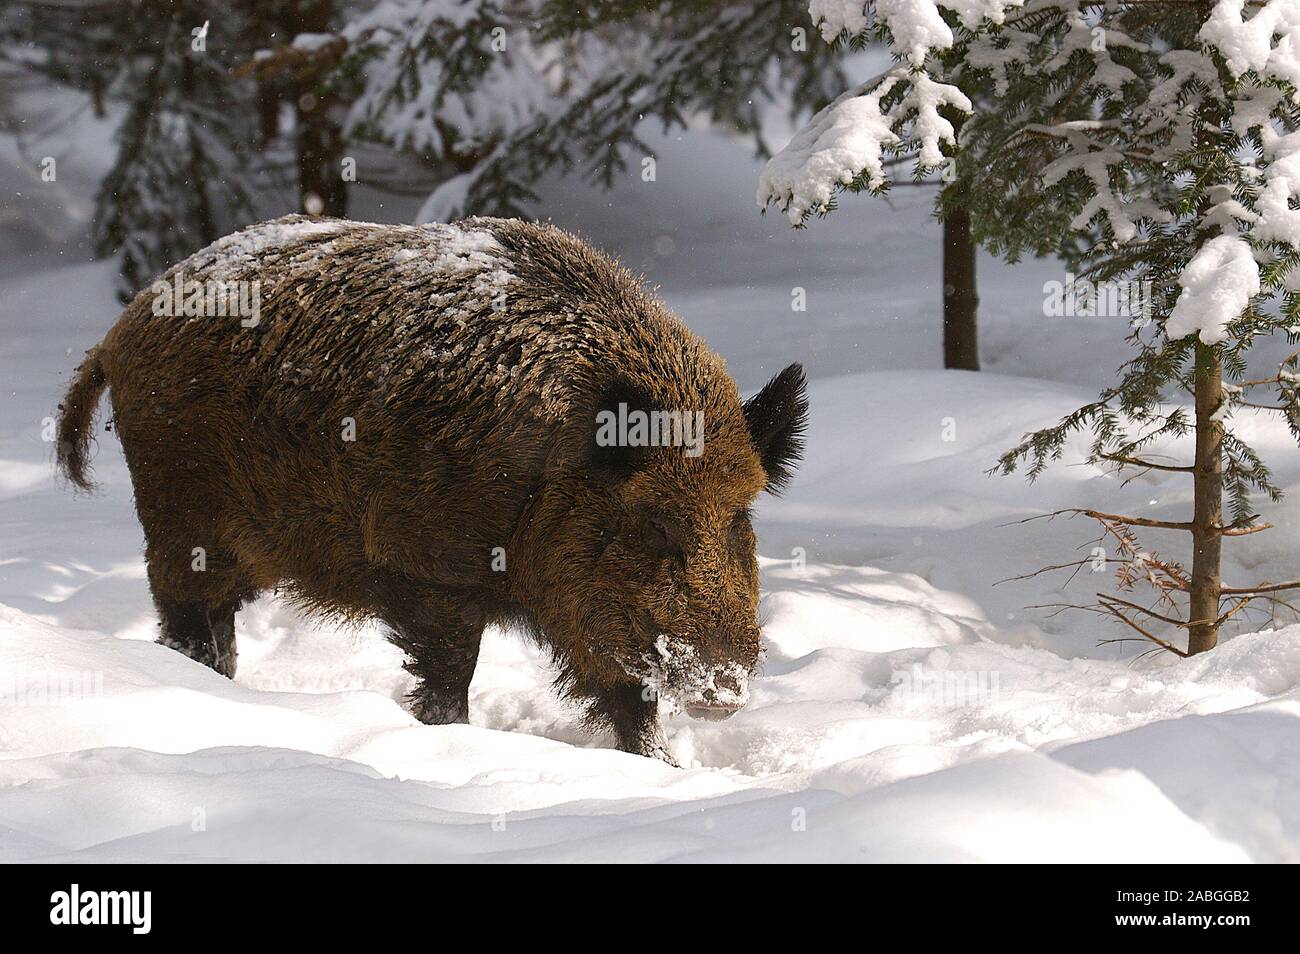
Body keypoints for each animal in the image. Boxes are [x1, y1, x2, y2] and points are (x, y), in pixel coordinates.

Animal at [56, 215, 807, 762]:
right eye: (653, 521)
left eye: (739, 517)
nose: (725, 689)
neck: (546, 471)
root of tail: (122, 327)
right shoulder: (430, 569)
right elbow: (450, 677)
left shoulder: (591, 615)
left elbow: (631, 704)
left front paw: (661, 772)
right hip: (179, 520)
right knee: (187, 619)